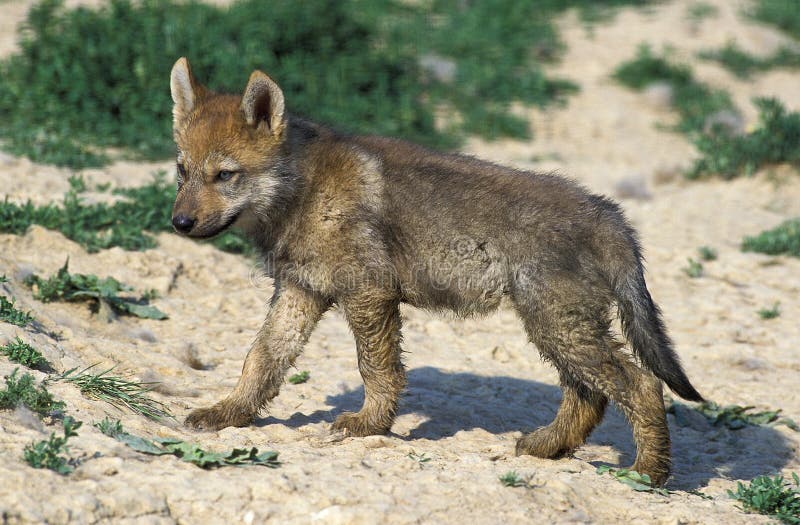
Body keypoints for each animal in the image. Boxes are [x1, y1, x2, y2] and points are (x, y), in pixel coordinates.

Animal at [169, 57, 702, 485]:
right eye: (181, 171)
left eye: (225, 175)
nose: (179, 223)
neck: (302, 192)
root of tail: (609, 216)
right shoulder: (300, 292)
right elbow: (261, 360)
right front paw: (230, 412)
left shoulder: (369, 293)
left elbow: (377, 370)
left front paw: (369, 425)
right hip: (558, 328)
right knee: (589, 395)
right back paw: (547, 446)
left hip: (559, 326)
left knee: (640, 386)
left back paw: (648, 473)